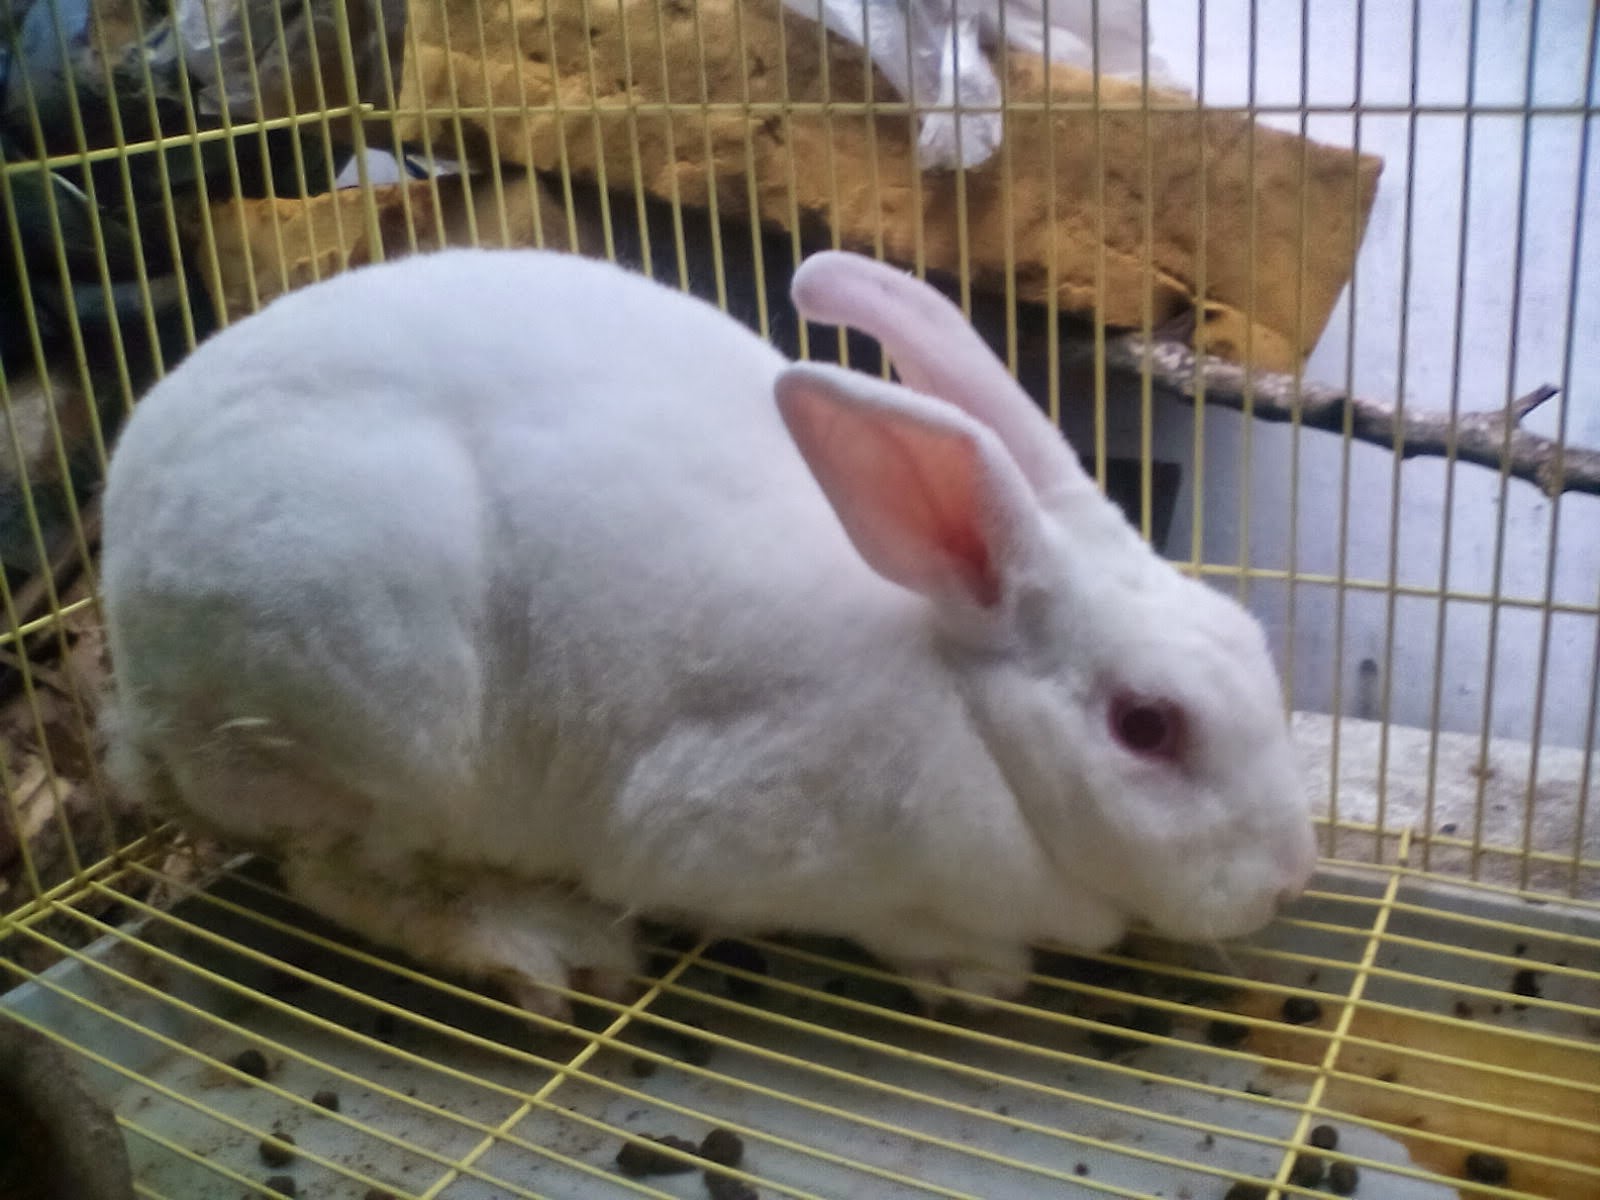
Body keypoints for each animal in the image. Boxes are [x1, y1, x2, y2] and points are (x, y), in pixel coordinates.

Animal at [99, 246, 1317, 1018]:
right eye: (1147, 725)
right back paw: (541, 947)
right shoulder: (733, 840)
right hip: (376, 714)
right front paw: (972, 972)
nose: (1289, 881)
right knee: (343, 876)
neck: (968, 715)